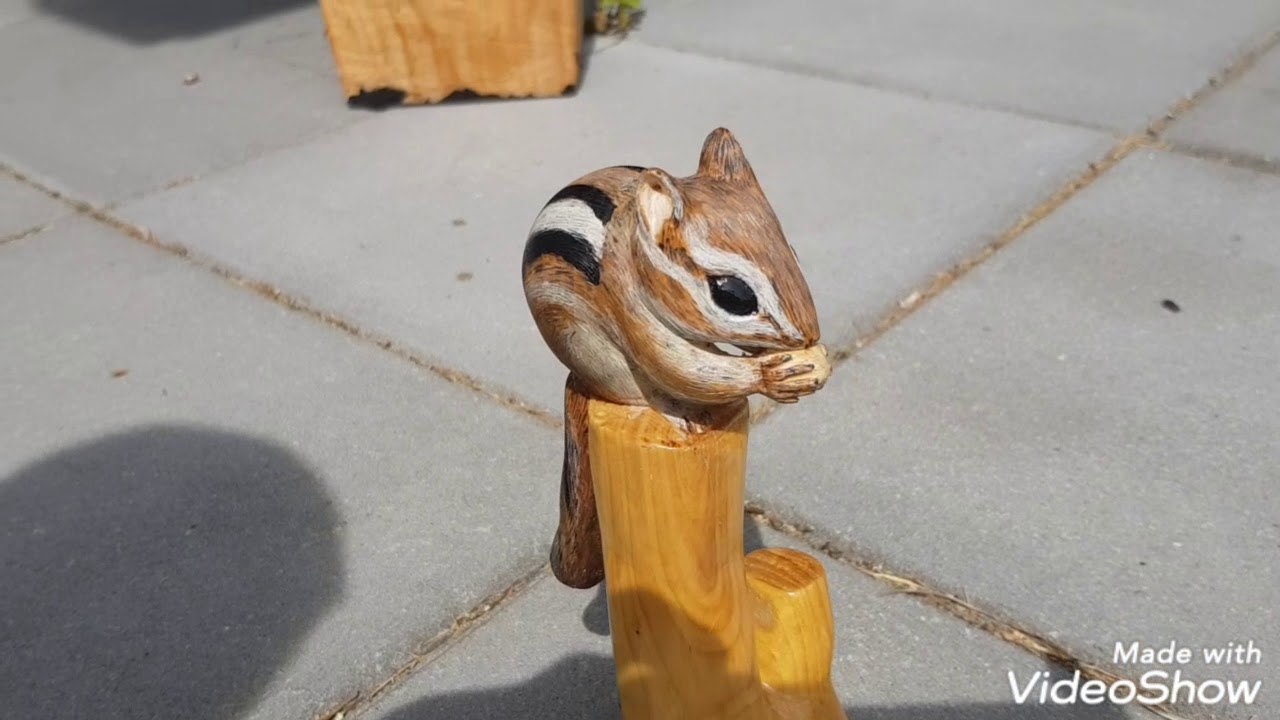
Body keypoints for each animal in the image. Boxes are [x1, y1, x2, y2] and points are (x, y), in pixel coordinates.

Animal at [522, 128, 831, 589]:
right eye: (733, 294)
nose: (808, 334)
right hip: (586, 347)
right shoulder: (627, 302)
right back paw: (674, 411)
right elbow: (679, 365)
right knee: (634, 388)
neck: (631, 247)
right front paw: (768, 376)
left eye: (791, 251)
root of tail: (578, 379)